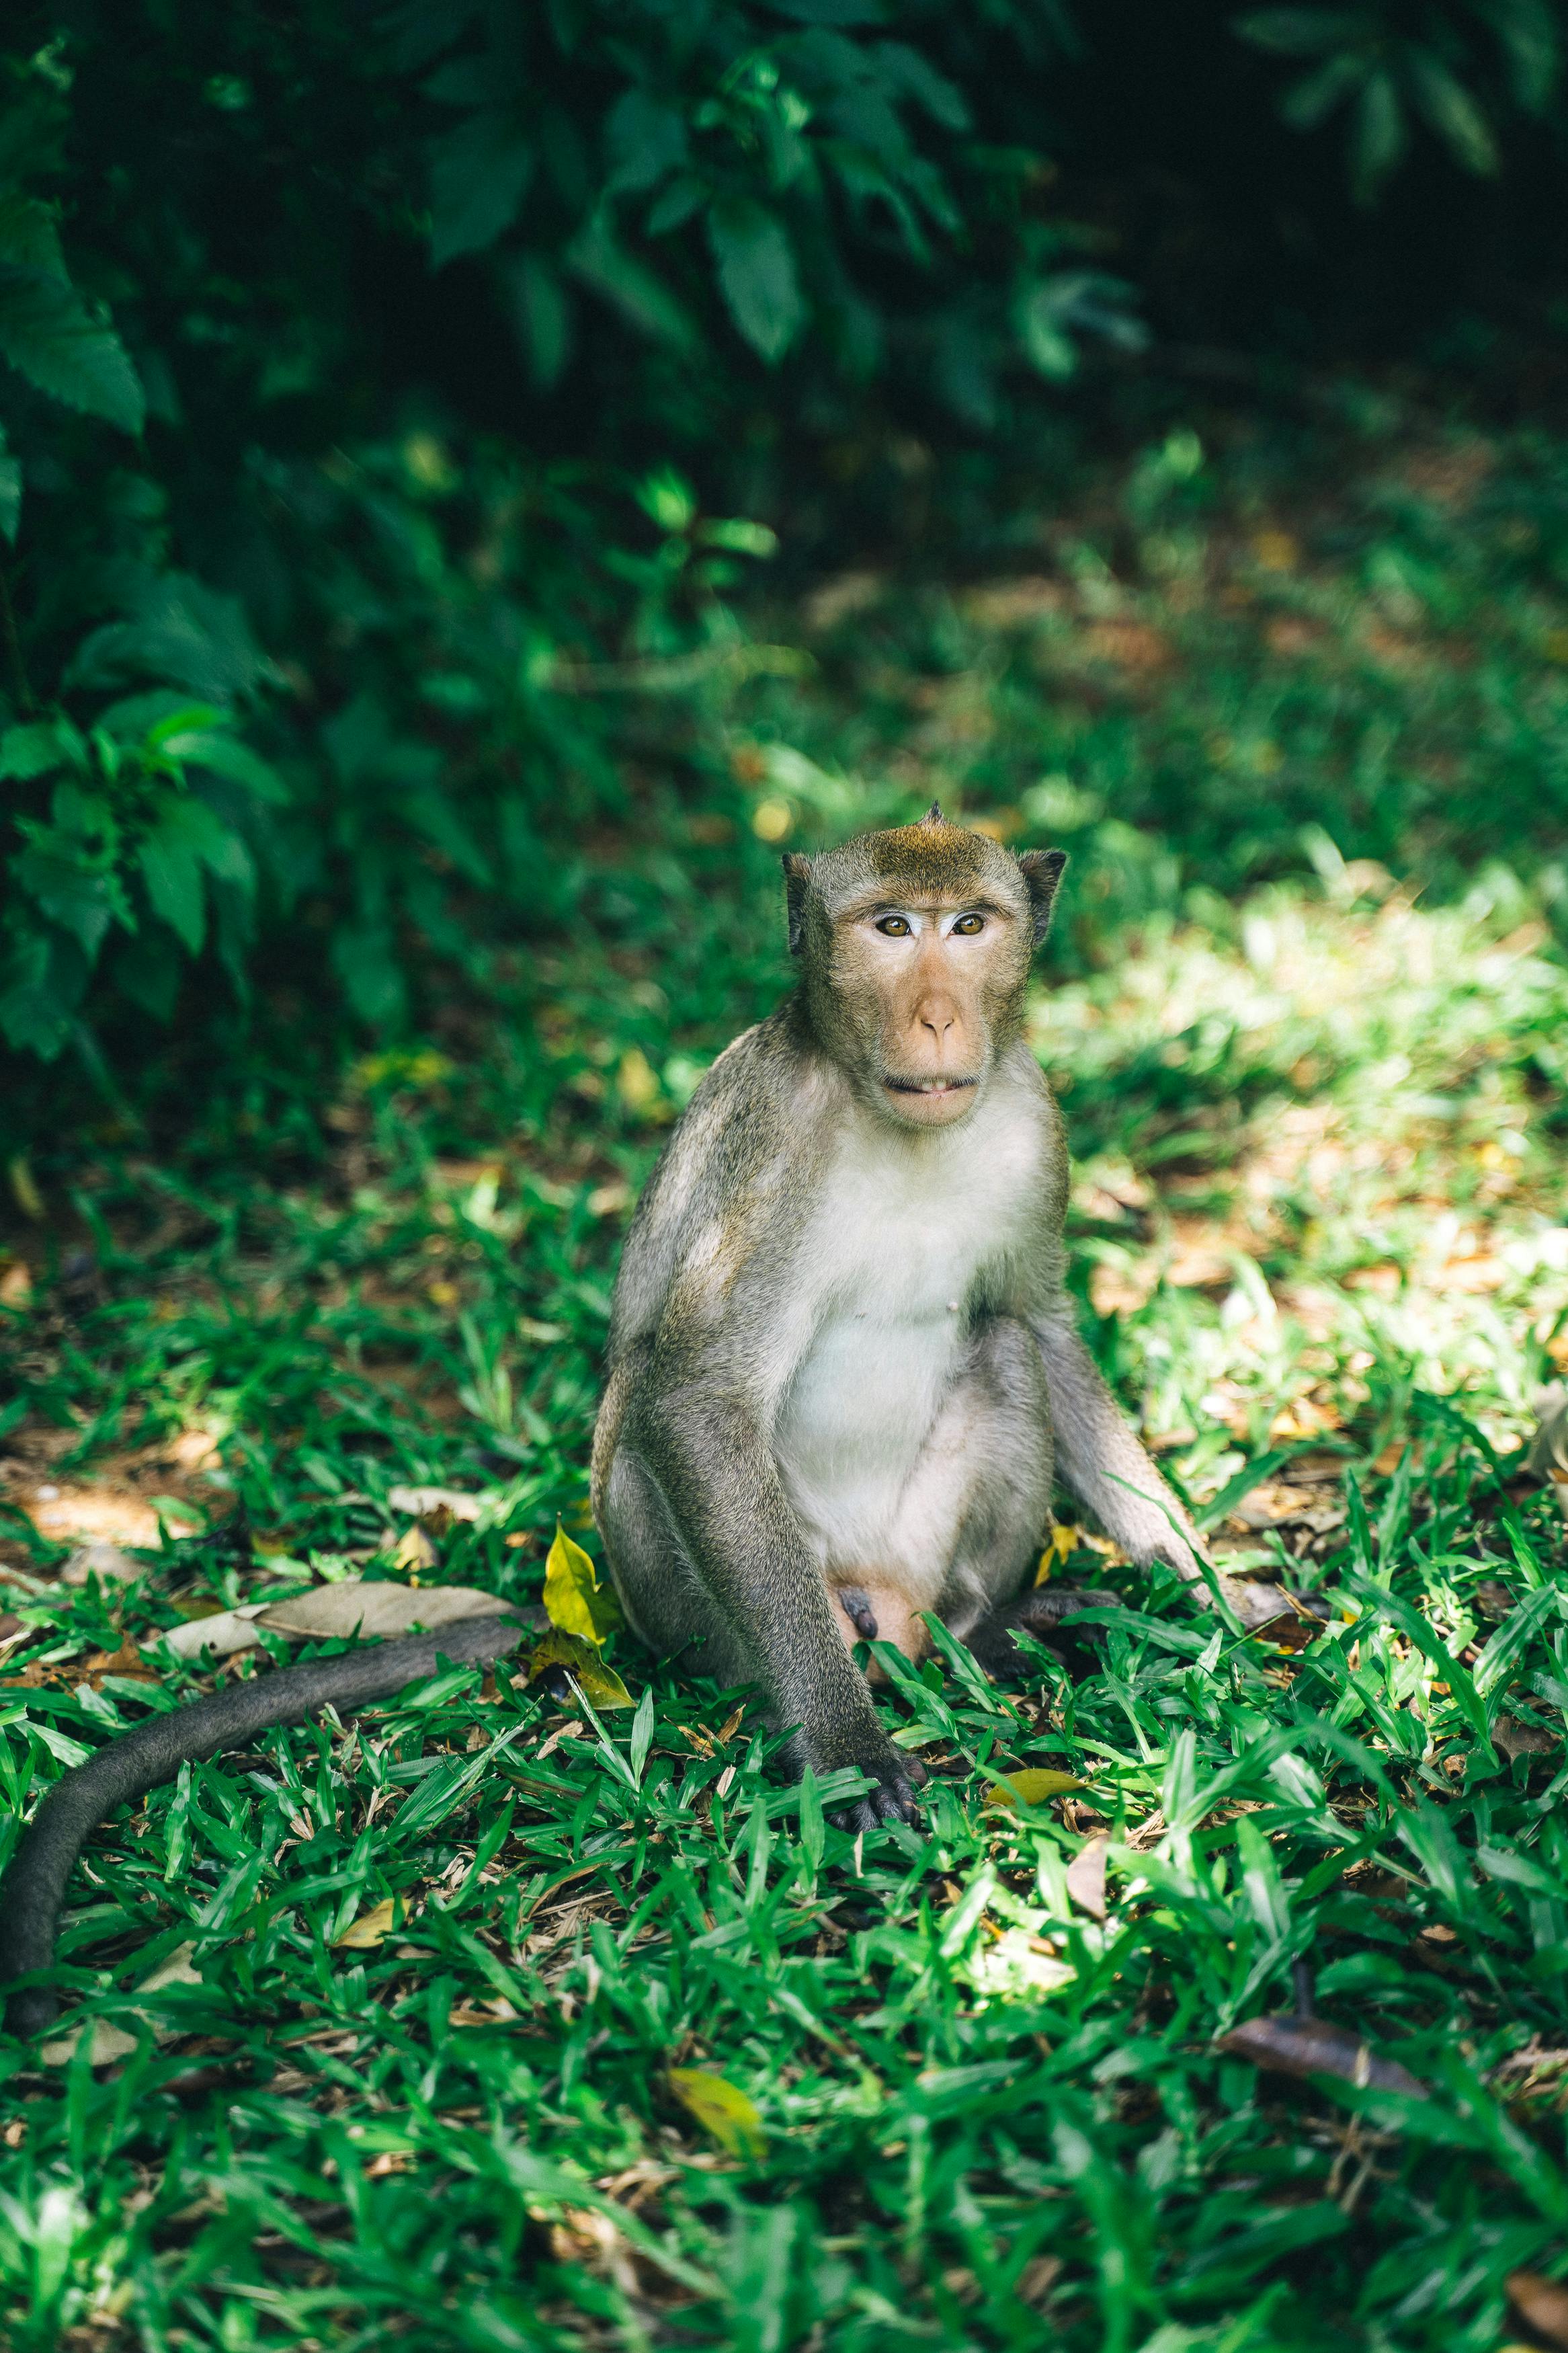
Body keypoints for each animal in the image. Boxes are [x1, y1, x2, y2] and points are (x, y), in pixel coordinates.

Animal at [592, 804, 1283, 1834]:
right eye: (890, 928)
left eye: (967, 926)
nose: (936, 1017)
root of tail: (879, 1597)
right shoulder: (768, 1155)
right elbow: (696, 1403)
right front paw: (845, 1748)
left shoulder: (1035, 1121)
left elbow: (1040, 1323)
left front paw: (1206, 1584)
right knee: (643, 1401)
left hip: (923, 1552)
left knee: (1002, 1345)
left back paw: (992, 1631)